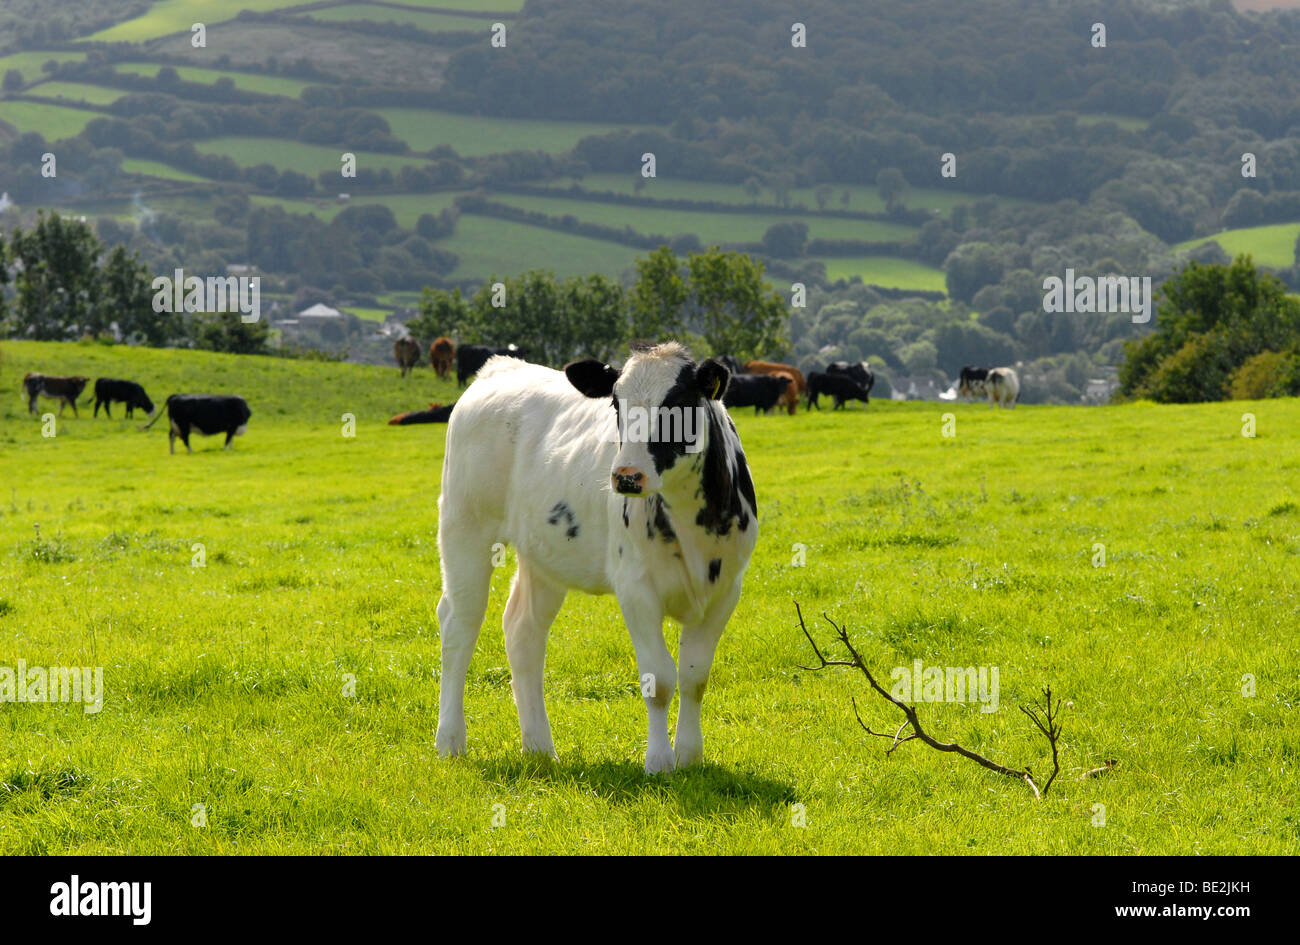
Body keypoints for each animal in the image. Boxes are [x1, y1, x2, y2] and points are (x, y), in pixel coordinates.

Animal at [435, 341, 757, 774]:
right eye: (617, 405)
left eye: (680, 403)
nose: (626, 476)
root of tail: (501, 368)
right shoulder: (635, 587)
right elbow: (659, 679)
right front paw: (659, 762)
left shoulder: (726, 589)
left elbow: (695, 676)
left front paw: (690, 756)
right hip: (464, 527)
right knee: (459, 626)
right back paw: (451, 740)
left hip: (543, 553)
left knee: (523, 631)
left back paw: (539, 747)